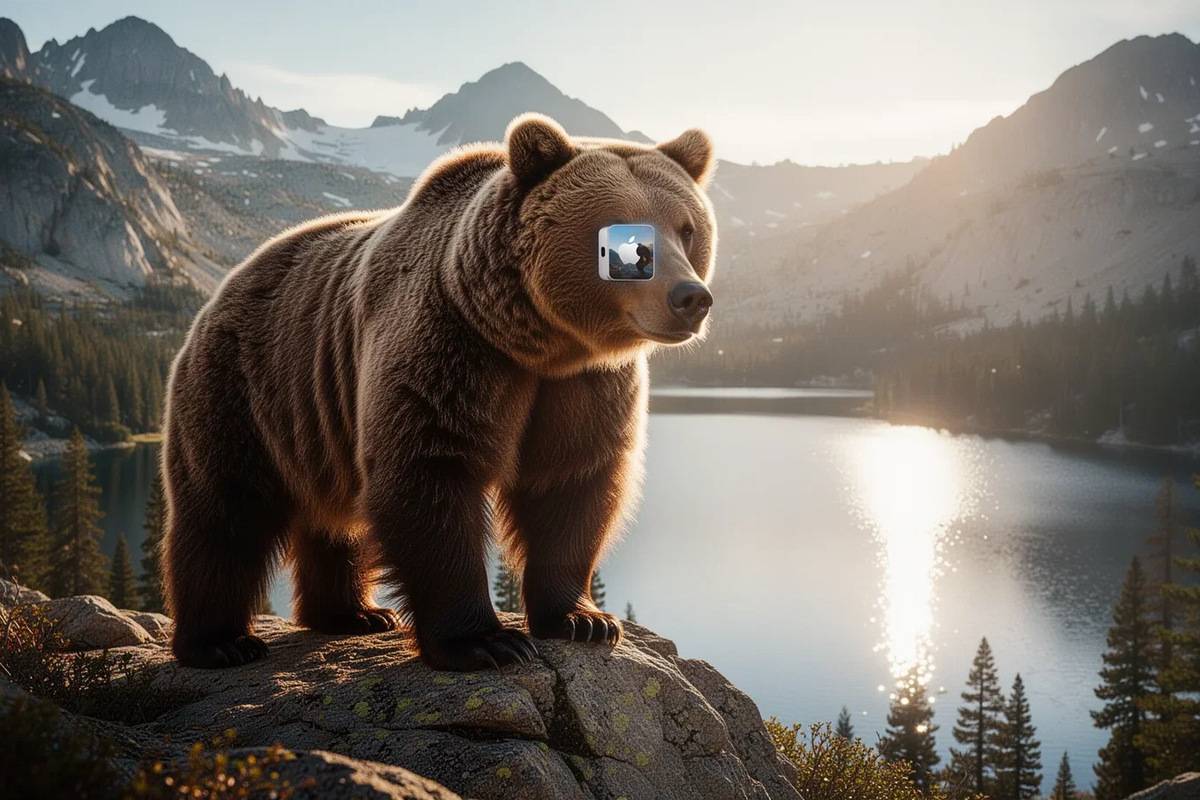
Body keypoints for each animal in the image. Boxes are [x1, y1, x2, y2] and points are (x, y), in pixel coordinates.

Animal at [161, 113, 717, 671]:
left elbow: (570, 484)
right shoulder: (451, 347)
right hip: (246, 389)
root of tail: (224, 287)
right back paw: (221, 641)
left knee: (334, 522)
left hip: (318, 426)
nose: (691, 297)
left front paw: (584, 621)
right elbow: (431, 472)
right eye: (627, 229)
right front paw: (485, 641)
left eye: (688, 230)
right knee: (225, 511)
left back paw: (352, 614)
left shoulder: (582, 387)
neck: (538, 343)